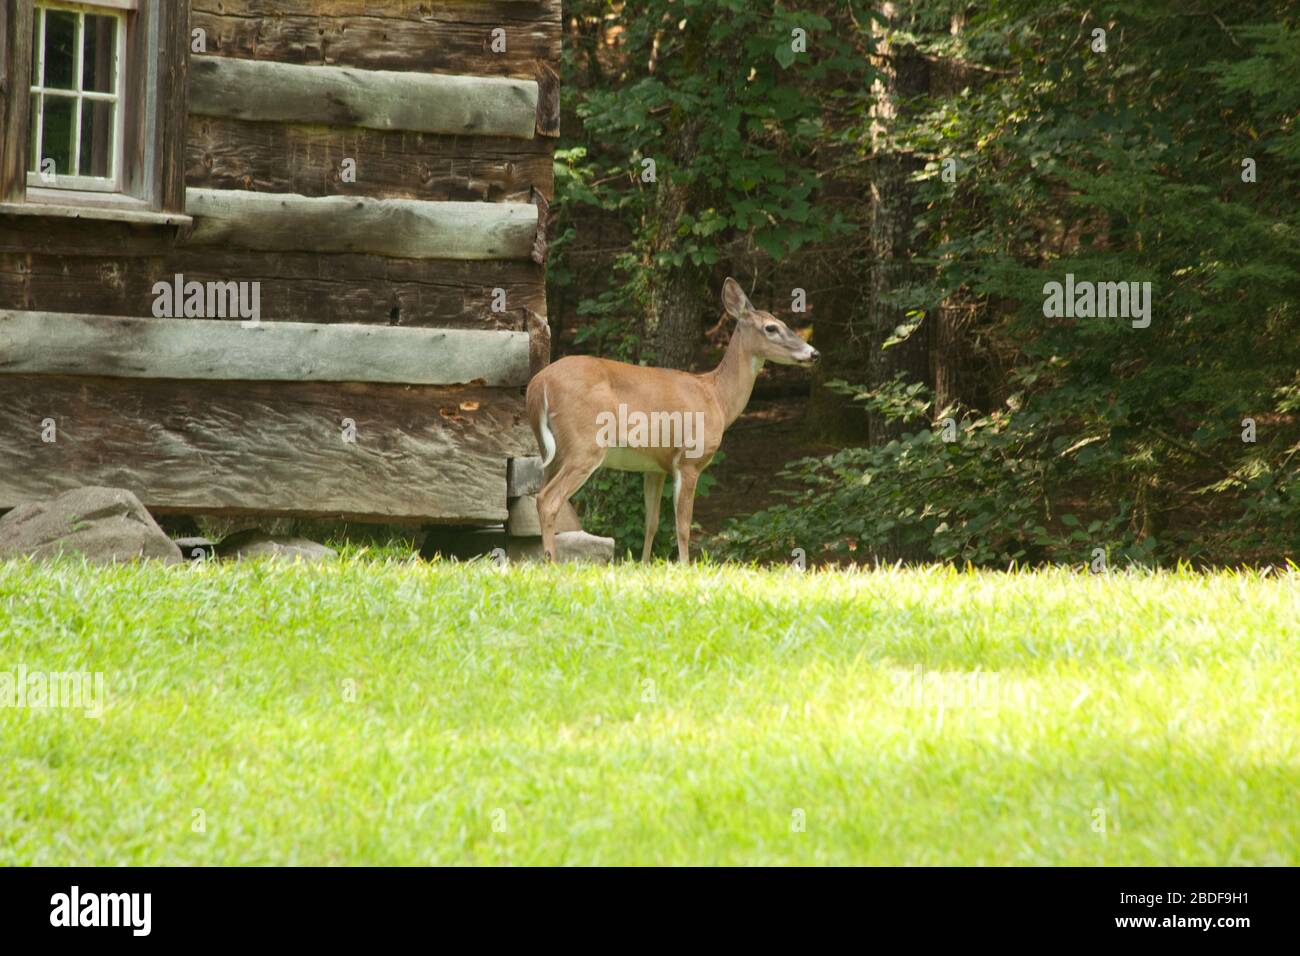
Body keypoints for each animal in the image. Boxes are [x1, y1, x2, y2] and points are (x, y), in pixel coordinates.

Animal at [526, 277, 819, 564]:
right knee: (548, 500)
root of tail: (538, 386)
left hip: (552, 451)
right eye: (771, 327)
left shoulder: (655, 467)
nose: (814, 353)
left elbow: (652, 522)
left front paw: (644, 565)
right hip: (584, 445)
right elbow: (683, 526)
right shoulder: (689, 459)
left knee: (538, 497)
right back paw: (551, 562)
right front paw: (686, 567)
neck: (717, 397)